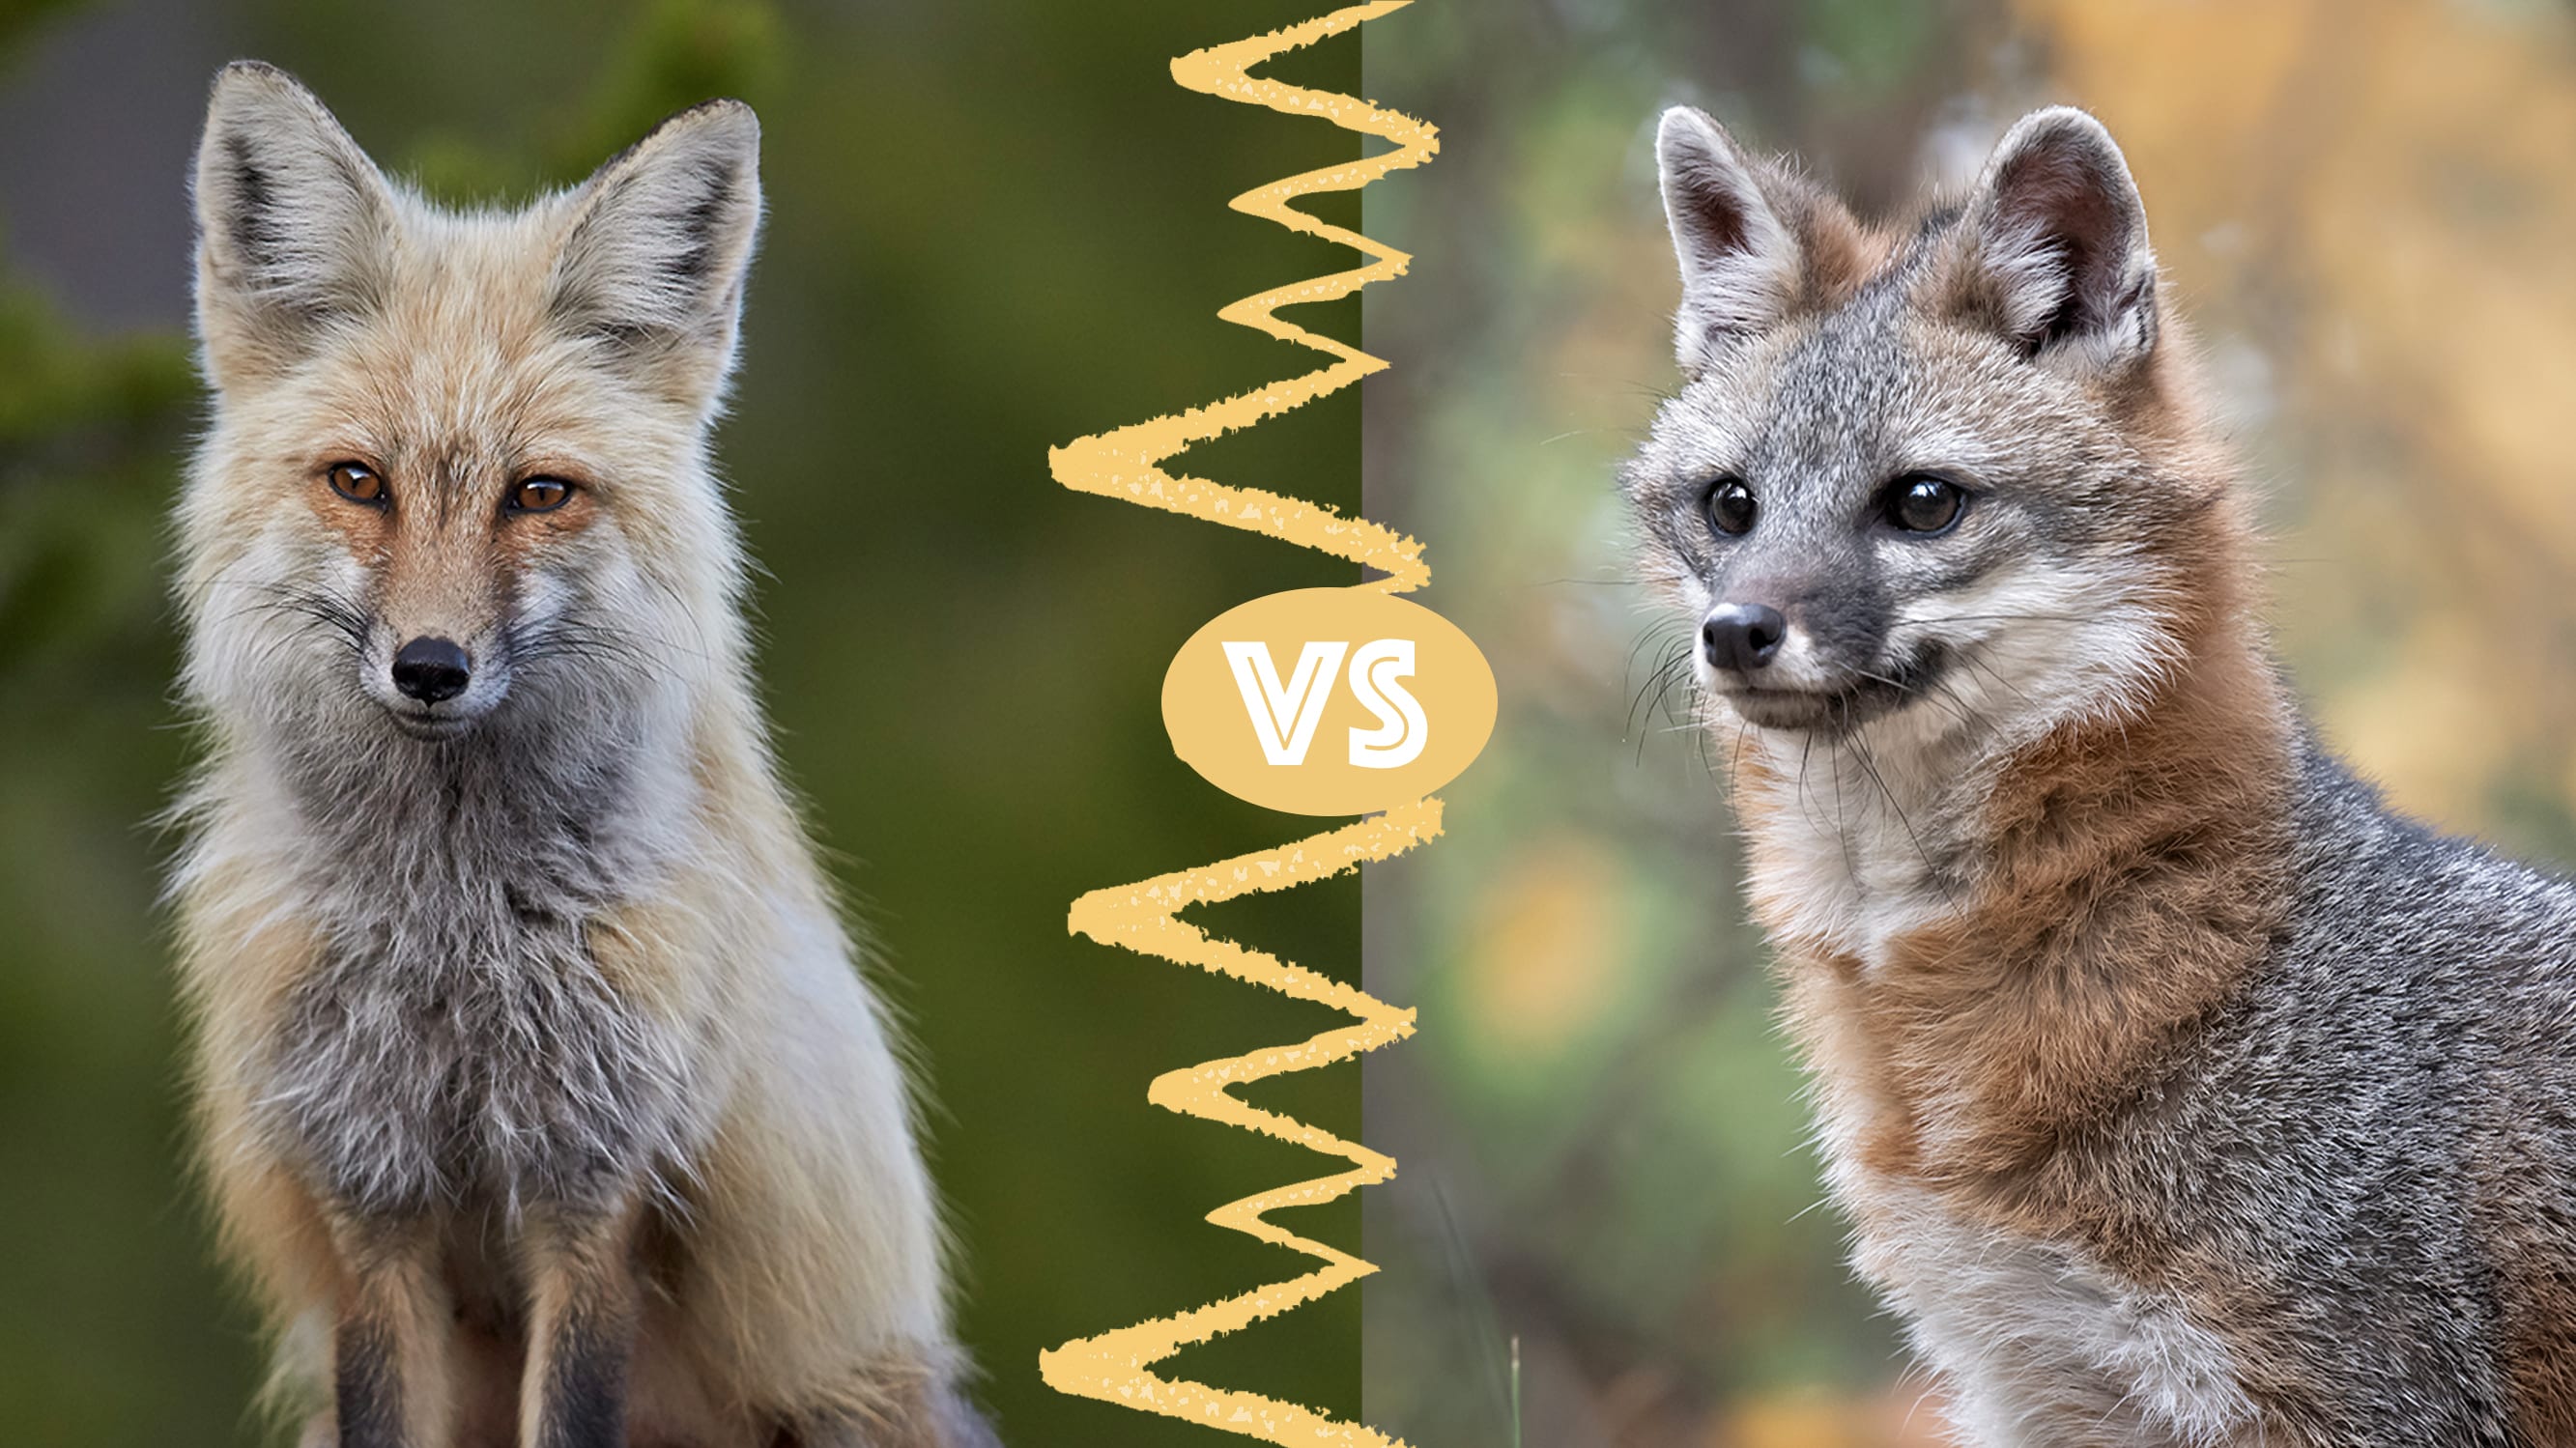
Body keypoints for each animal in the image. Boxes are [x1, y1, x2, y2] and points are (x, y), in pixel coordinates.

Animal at [167, 62, 995, 1448]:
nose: (430, 666)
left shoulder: (595, 1194)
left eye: (539, 494)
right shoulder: (369, 1204)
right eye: (359, 481)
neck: (452, 929)